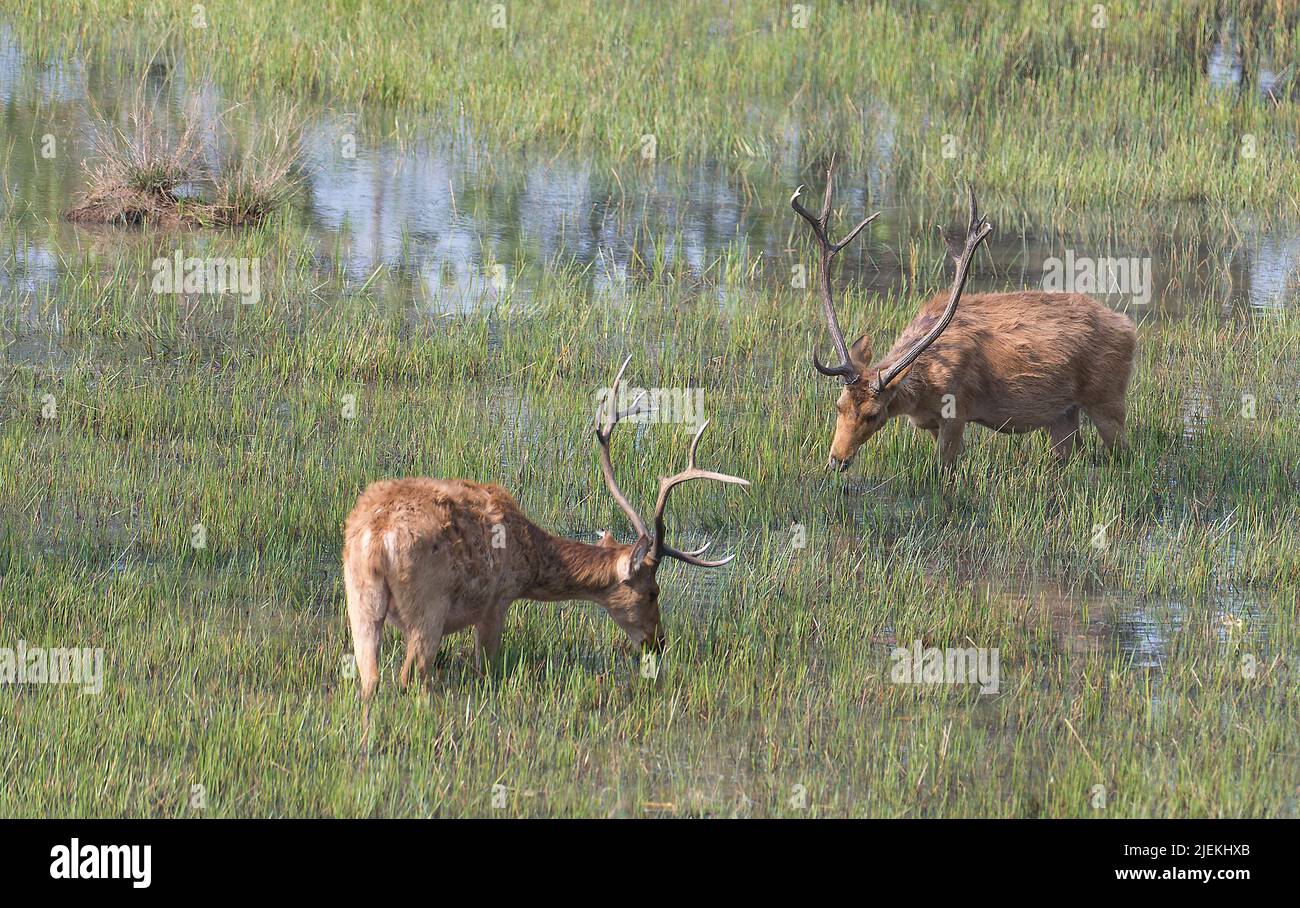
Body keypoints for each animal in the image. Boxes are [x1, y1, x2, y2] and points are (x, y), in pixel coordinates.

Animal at [341, 356, 749, 709]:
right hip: (429, 603)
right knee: (410, 676)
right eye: (652, 591)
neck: (529, 561)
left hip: (359, 601)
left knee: (370, 680)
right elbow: (486, 670)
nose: (658, 642)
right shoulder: (497, 600)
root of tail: (376, 539)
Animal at [791, 169, 1136, 472]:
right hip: (1062, 414)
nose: (837, 461)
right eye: (839, 406)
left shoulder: (956, 410)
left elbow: (944, 469)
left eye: (873, 414)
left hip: (1108, 396)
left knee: (1123, 452)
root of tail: (1129, 328)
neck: (922, 390)